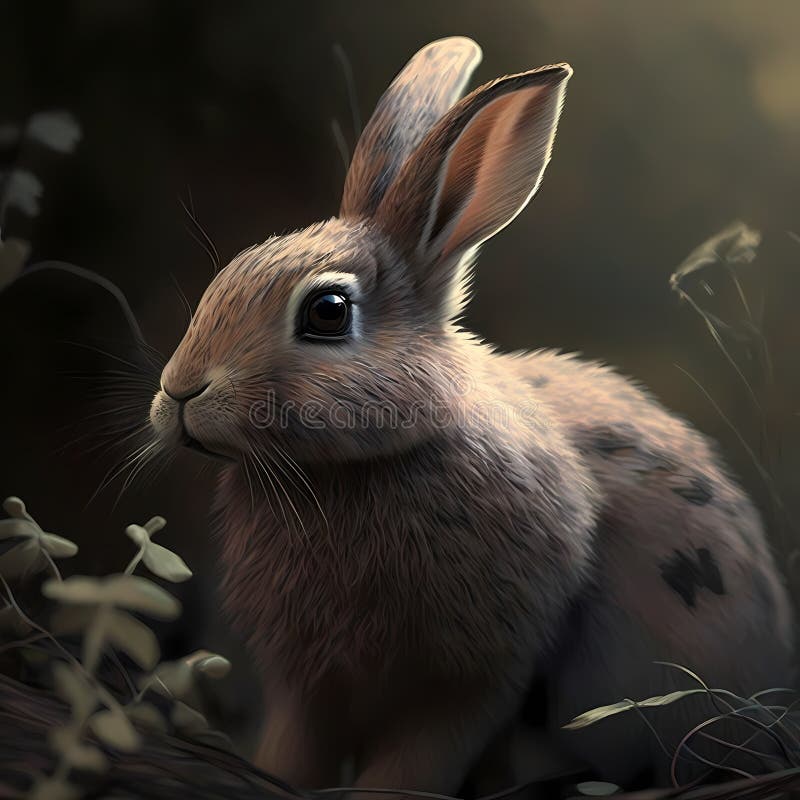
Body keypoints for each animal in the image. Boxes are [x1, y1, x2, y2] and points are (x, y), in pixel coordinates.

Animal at [149, 37, 795, 792]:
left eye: (327, 312)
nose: (179, 391)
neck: (357, 467)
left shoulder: (474, 679)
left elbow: (420, 760)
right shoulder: (306, 685)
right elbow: (294, 749)